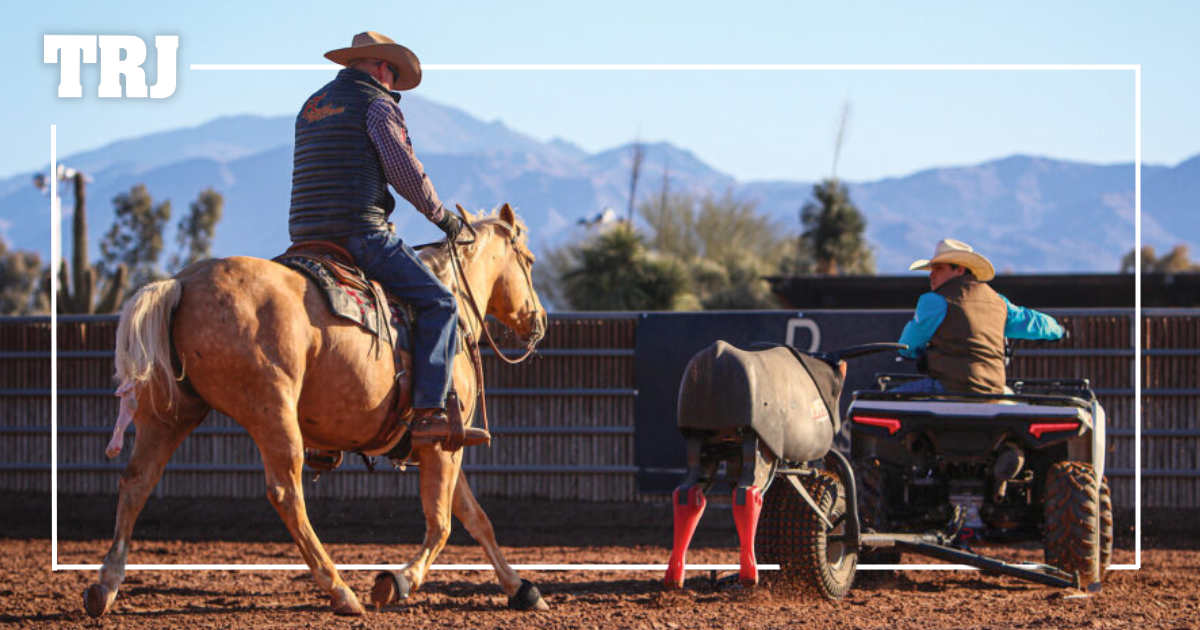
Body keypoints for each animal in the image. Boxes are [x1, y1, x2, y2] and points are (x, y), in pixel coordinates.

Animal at [84, 204, 549, 617]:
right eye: (528, 260)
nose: (540, 321)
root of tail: (182, 283)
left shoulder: (443, 447)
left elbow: (476, 518)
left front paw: (521, 589)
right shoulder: (443, 445)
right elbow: (443, 524)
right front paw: (396, 582)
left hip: (169, 414)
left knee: (136, 482)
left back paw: (105, 587)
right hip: (272, 412)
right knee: (287, 494)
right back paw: (341, 591)